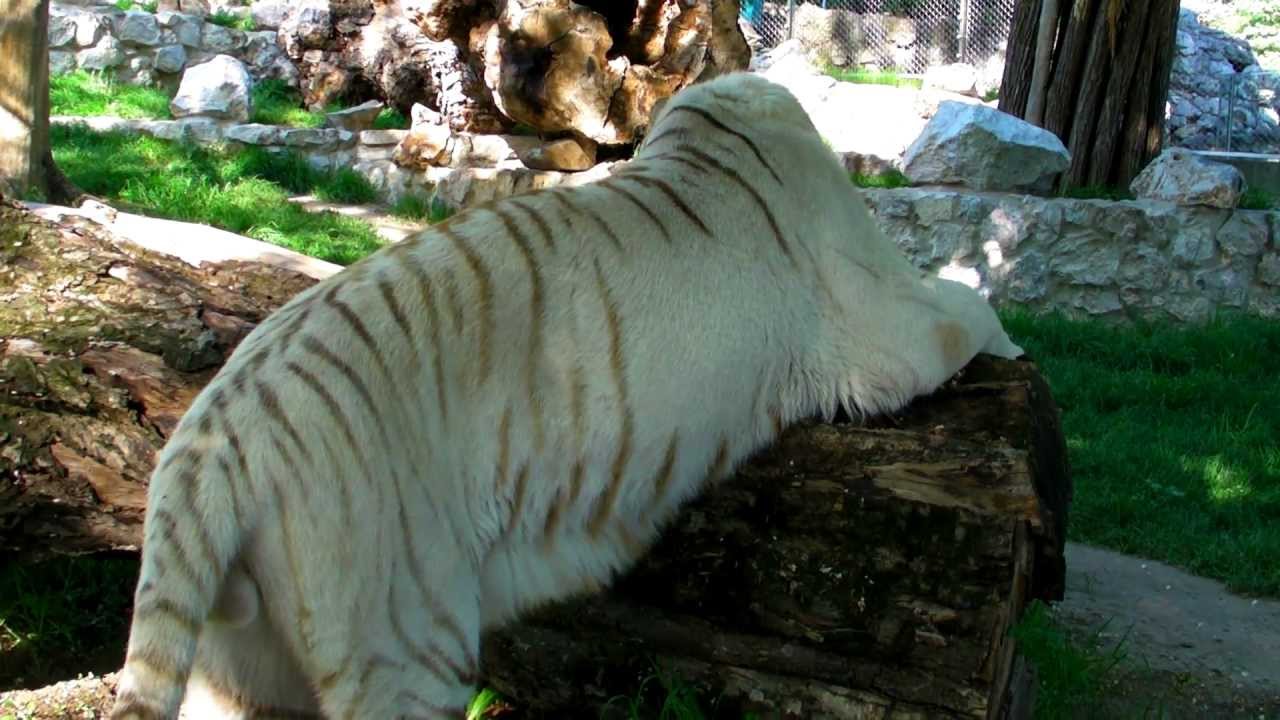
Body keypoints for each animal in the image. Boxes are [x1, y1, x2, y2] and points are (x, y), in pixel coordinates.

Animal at [108, 70, 1024, 720]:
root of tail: (213, 434)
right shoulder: (880, 329)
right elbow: (968, 303)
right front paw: (1013, 339)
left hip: (239, 664)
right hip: (406, 641)